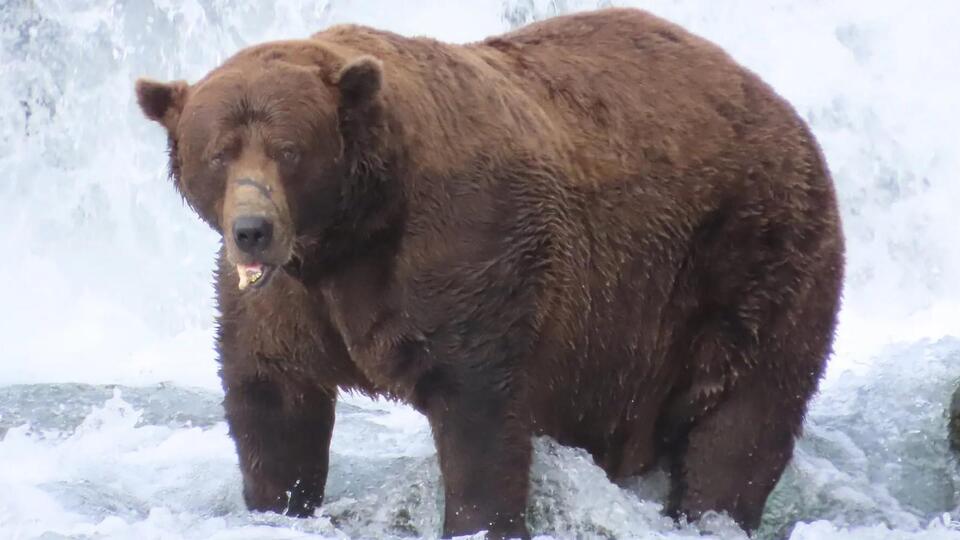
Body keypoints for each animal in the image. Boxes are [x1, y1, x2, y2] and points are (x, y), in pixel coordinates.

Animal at [135, 8, 844, 539]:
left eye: (289, 150)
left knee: (742, 419)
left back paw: (711, 508)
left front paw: (479, 519)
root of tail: (779, 104)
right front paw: (279, 503)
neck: (350, 234)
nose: (253, 228)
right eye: (219, 152)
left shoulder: (467, 252)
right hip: (623, 341)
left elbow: (478, 412)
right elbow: (273, 399)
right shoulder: (286, 302)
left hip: (748, 257)